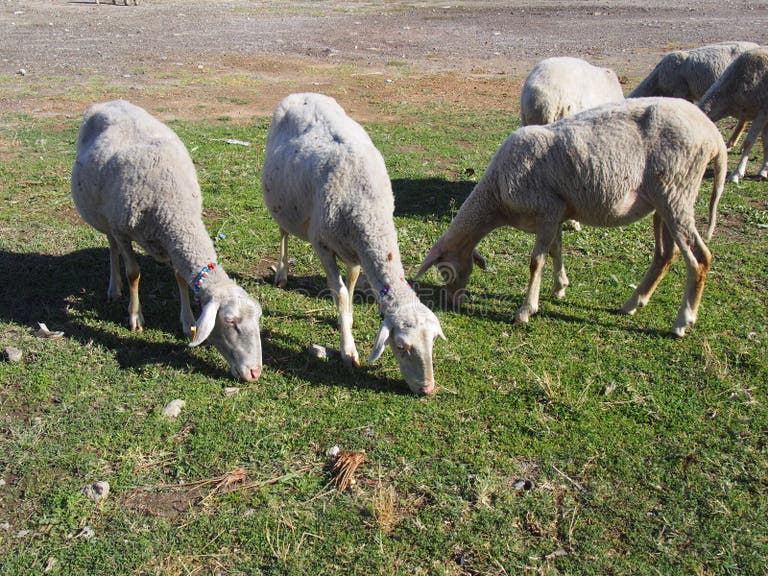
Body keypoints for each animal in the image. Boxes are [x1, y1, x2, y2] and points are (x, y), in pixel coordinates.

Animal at [71, 99, 263, 381]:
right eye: (230, 322)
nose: (255, 372)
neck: (175, 207)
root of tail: (110, 102)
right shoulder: (123, 229)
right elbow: (134, 273)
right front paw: (135, 316)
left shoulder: (172, 241)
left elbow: (181, 278)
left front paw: (188, 321)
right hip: (105, 218)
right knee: (112, 248)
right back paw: (114, 287)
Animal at [261, 93, 445, 395]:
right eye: (401, 346)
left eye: (431, 342)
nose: (428, 389)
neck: (369, 211)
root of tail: (302, 94)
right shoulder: (322, 244)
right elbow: (341, 293)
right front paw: (348, 351)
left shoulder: (354, 251)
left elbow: (350, 285)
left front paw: (346, 320)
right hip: (282, 204)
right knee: (283, 233)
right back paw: (282, 273)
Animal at [415, 98, 727, 338]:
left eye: (444, 271)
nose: (454, 302)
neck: (496, 195)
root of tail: (713, 136)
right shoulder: (557, 214)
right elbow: (556, 250)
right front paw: (559, 287)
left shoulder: (547, 209)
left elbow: (536, 261)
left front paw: (526, 310)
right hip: (662, 200)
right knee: (665, 254)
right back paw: (633, 303)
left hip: (676, 190)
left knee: (700, 258)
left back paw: (682, 322)